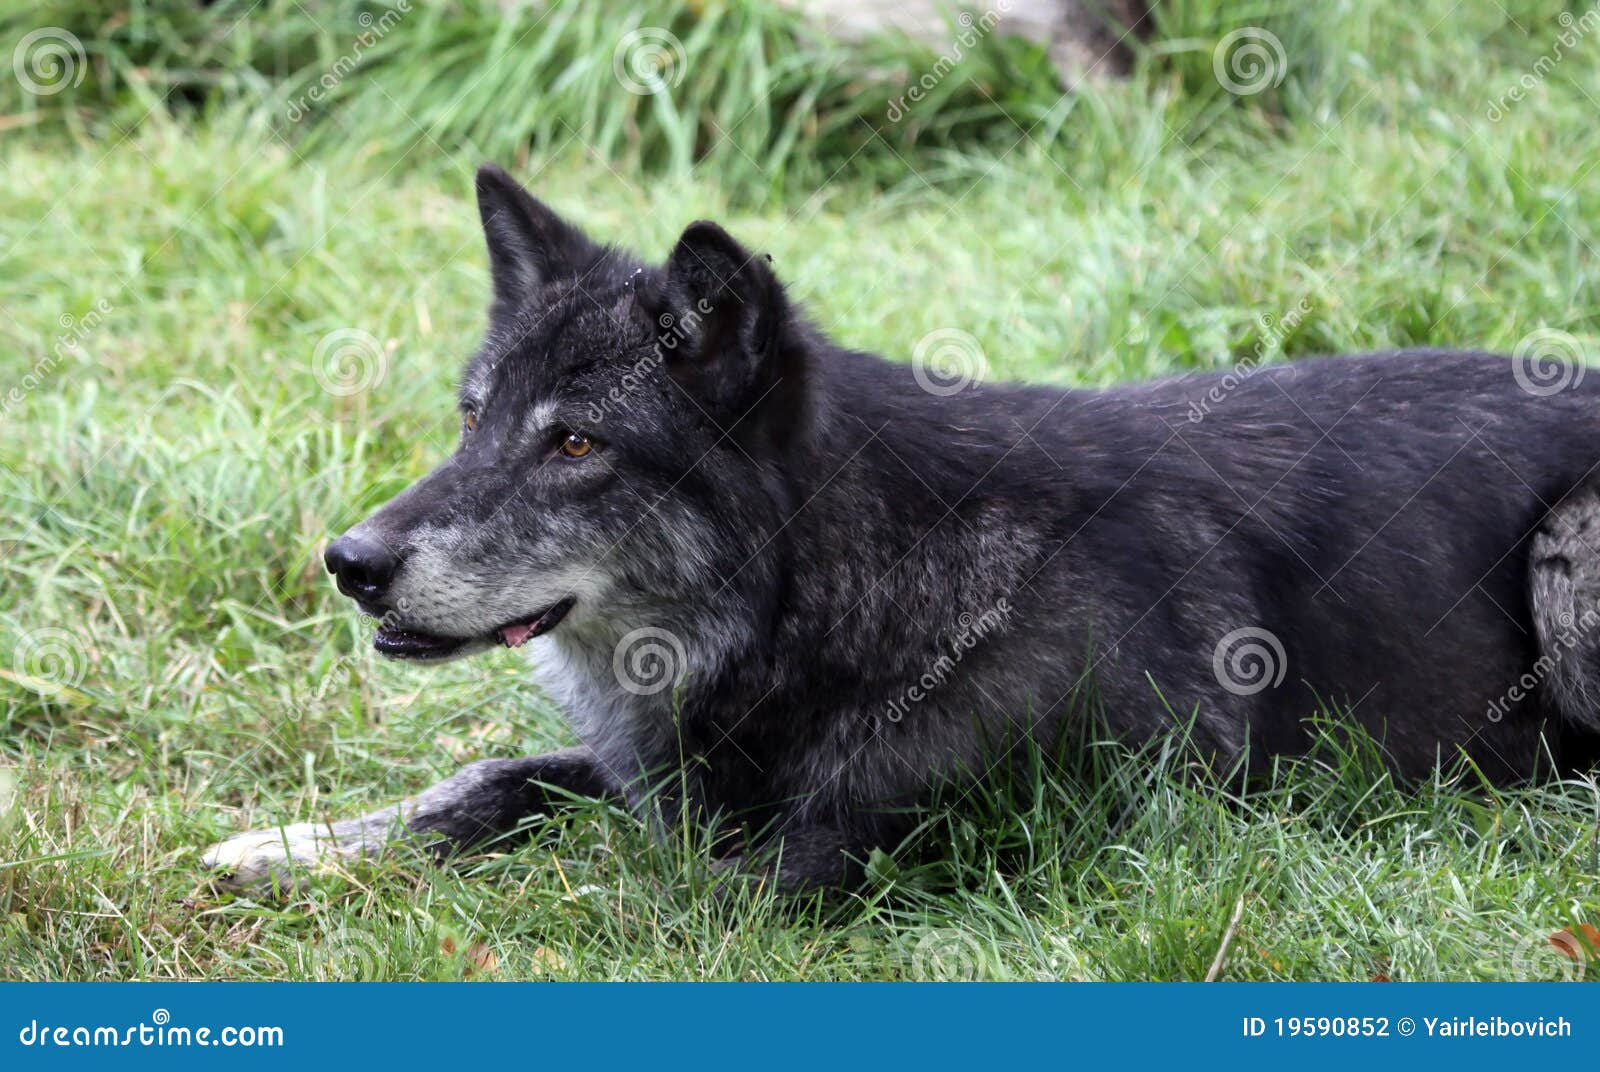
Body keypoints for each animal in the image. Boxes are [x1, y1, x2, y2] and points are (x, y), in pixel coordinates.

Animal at [204, 164, 1600, 892]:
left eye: (577, 445)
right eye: (473, 417)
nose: (350, 564)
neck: (834, 590)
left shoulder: (825, 867)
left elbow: (625, 869)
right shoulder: (674, 771)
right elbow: (500, 777)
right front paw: (301, 841)